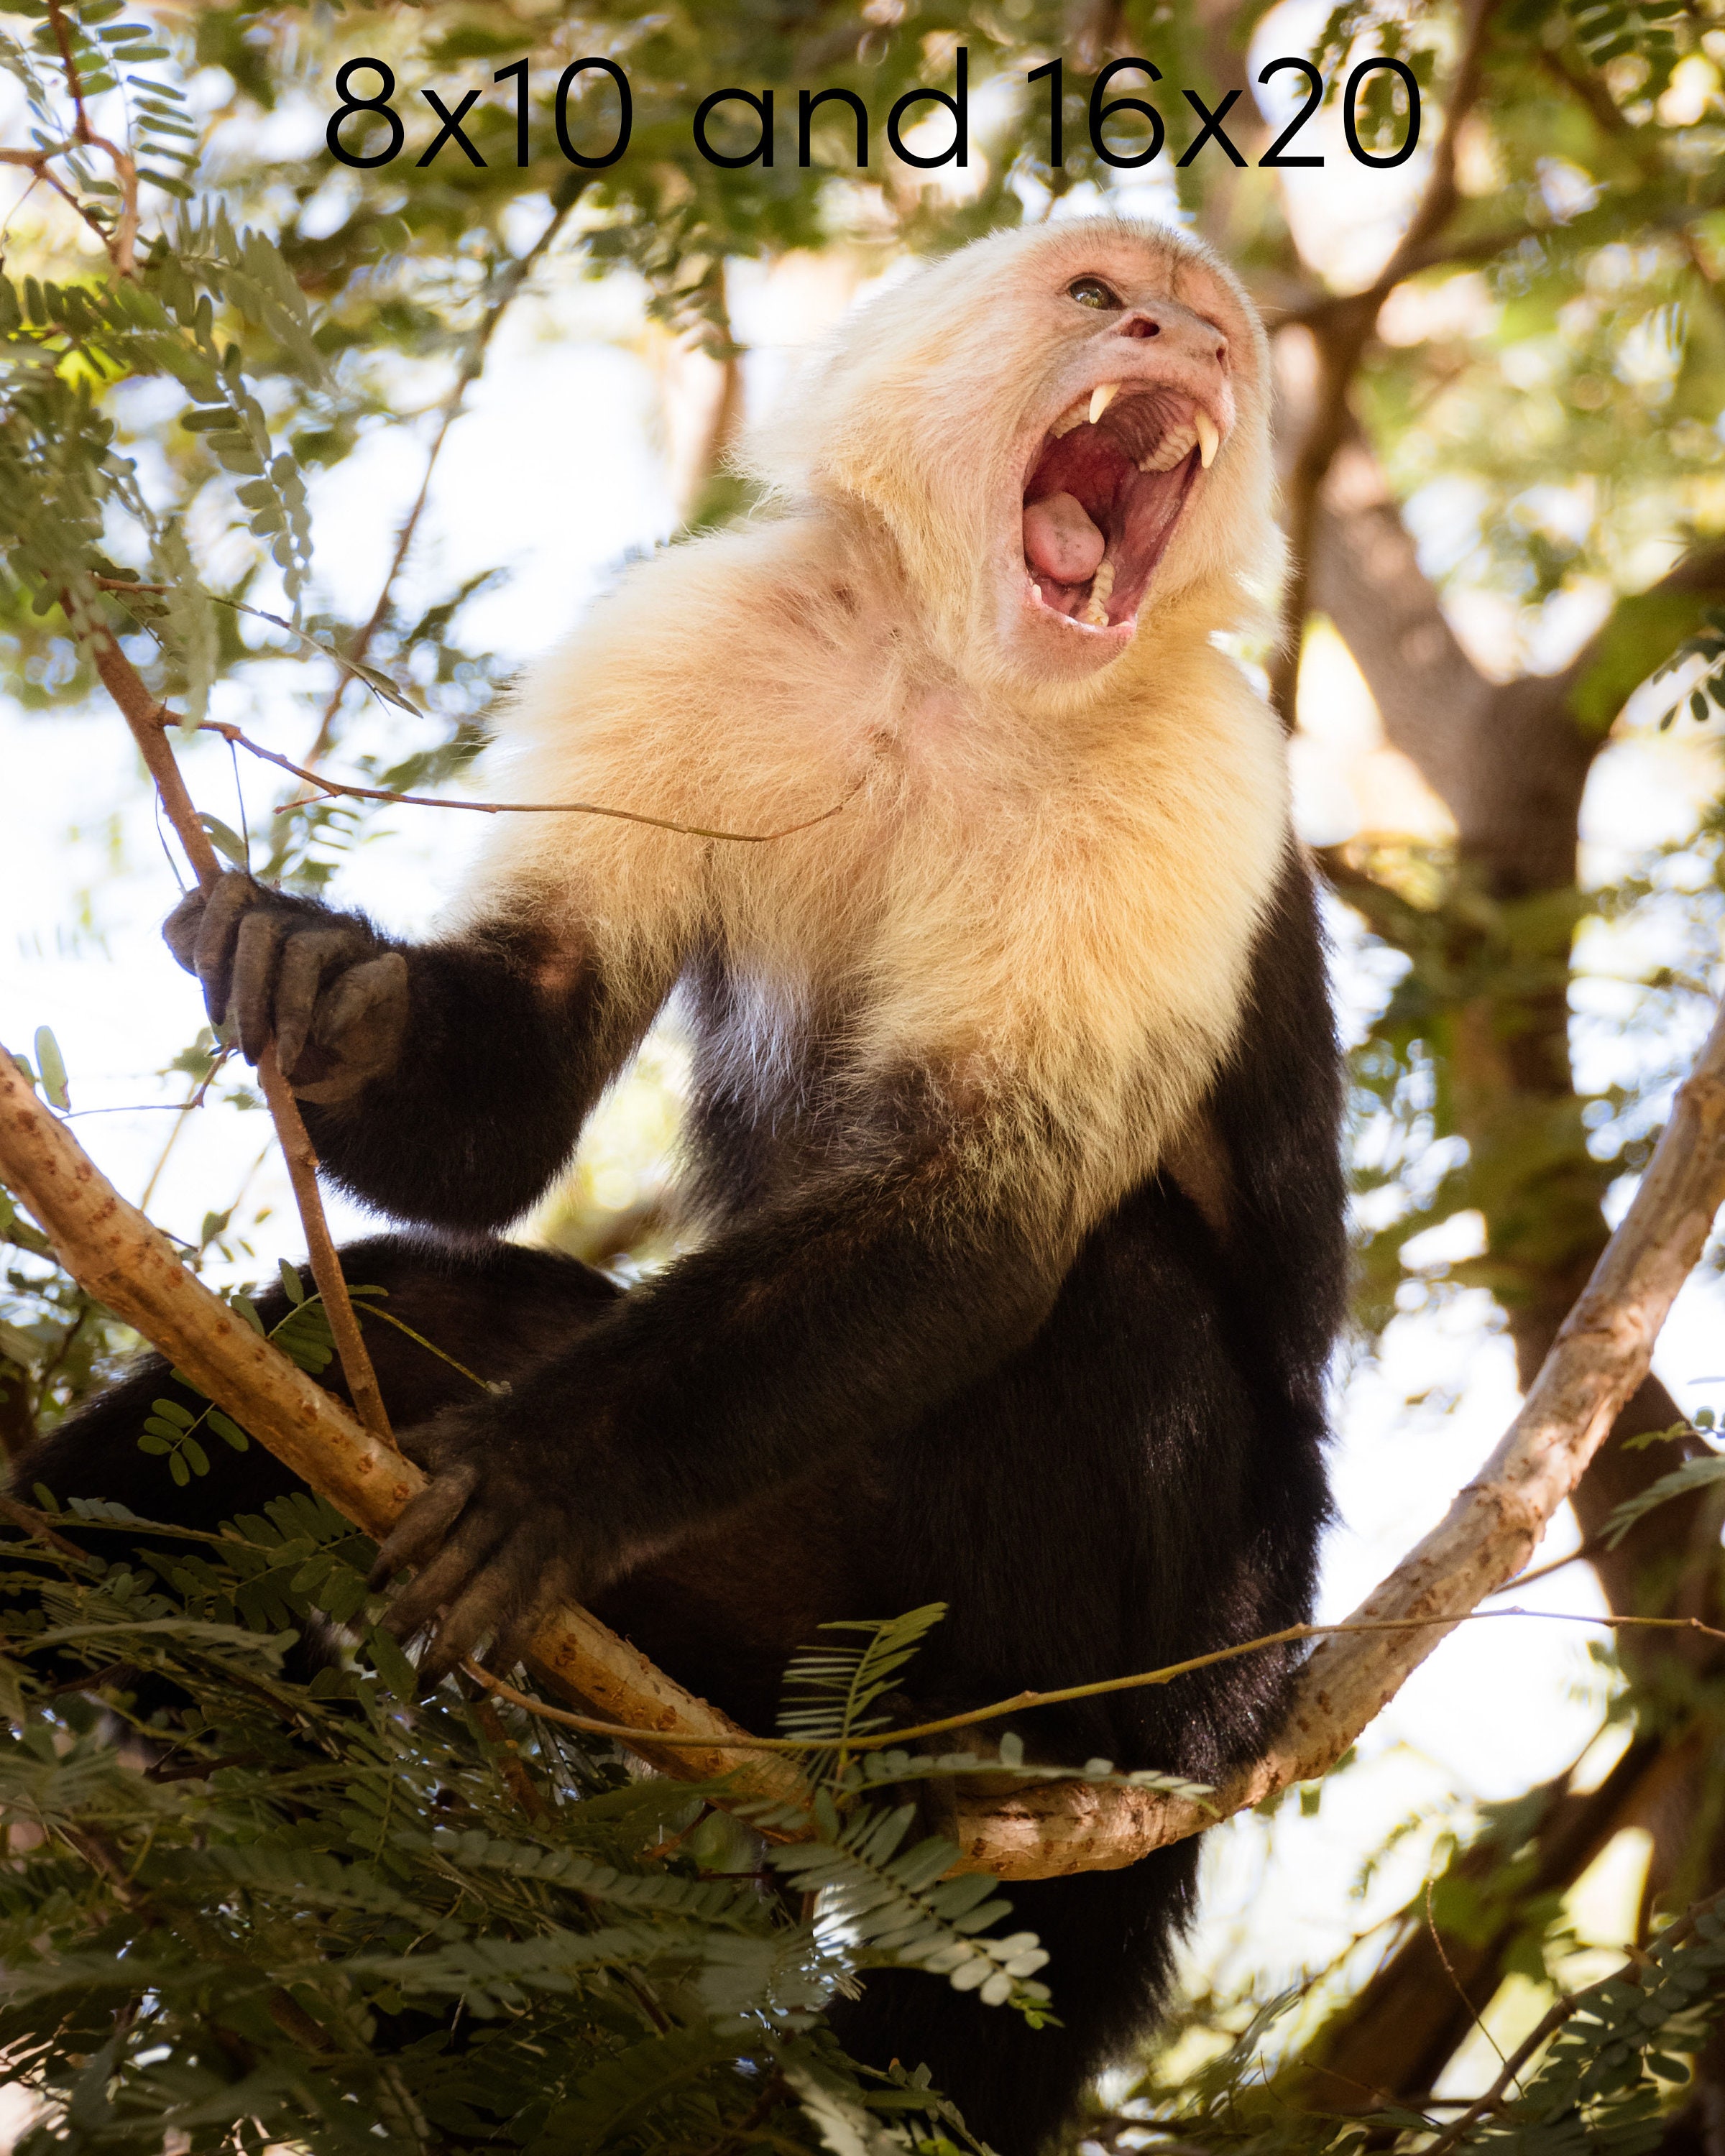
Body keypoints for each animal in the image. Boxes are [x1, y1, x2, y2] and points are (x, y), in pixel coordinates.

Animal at [14, 216, 1348, 2151]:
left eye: (1221, 337)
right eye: (1102, 300)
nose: (1184, 341)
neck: (957, 670)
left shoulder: (1197, 770)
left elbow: (977, 1213)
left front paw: (551, 1474)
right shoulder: (691, 637)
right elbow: (522, 1084)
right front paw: (327, 990)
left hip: (1195, 1664)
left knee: (1130, 1305)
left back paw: (1000, 1752)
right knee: (387, 1331)